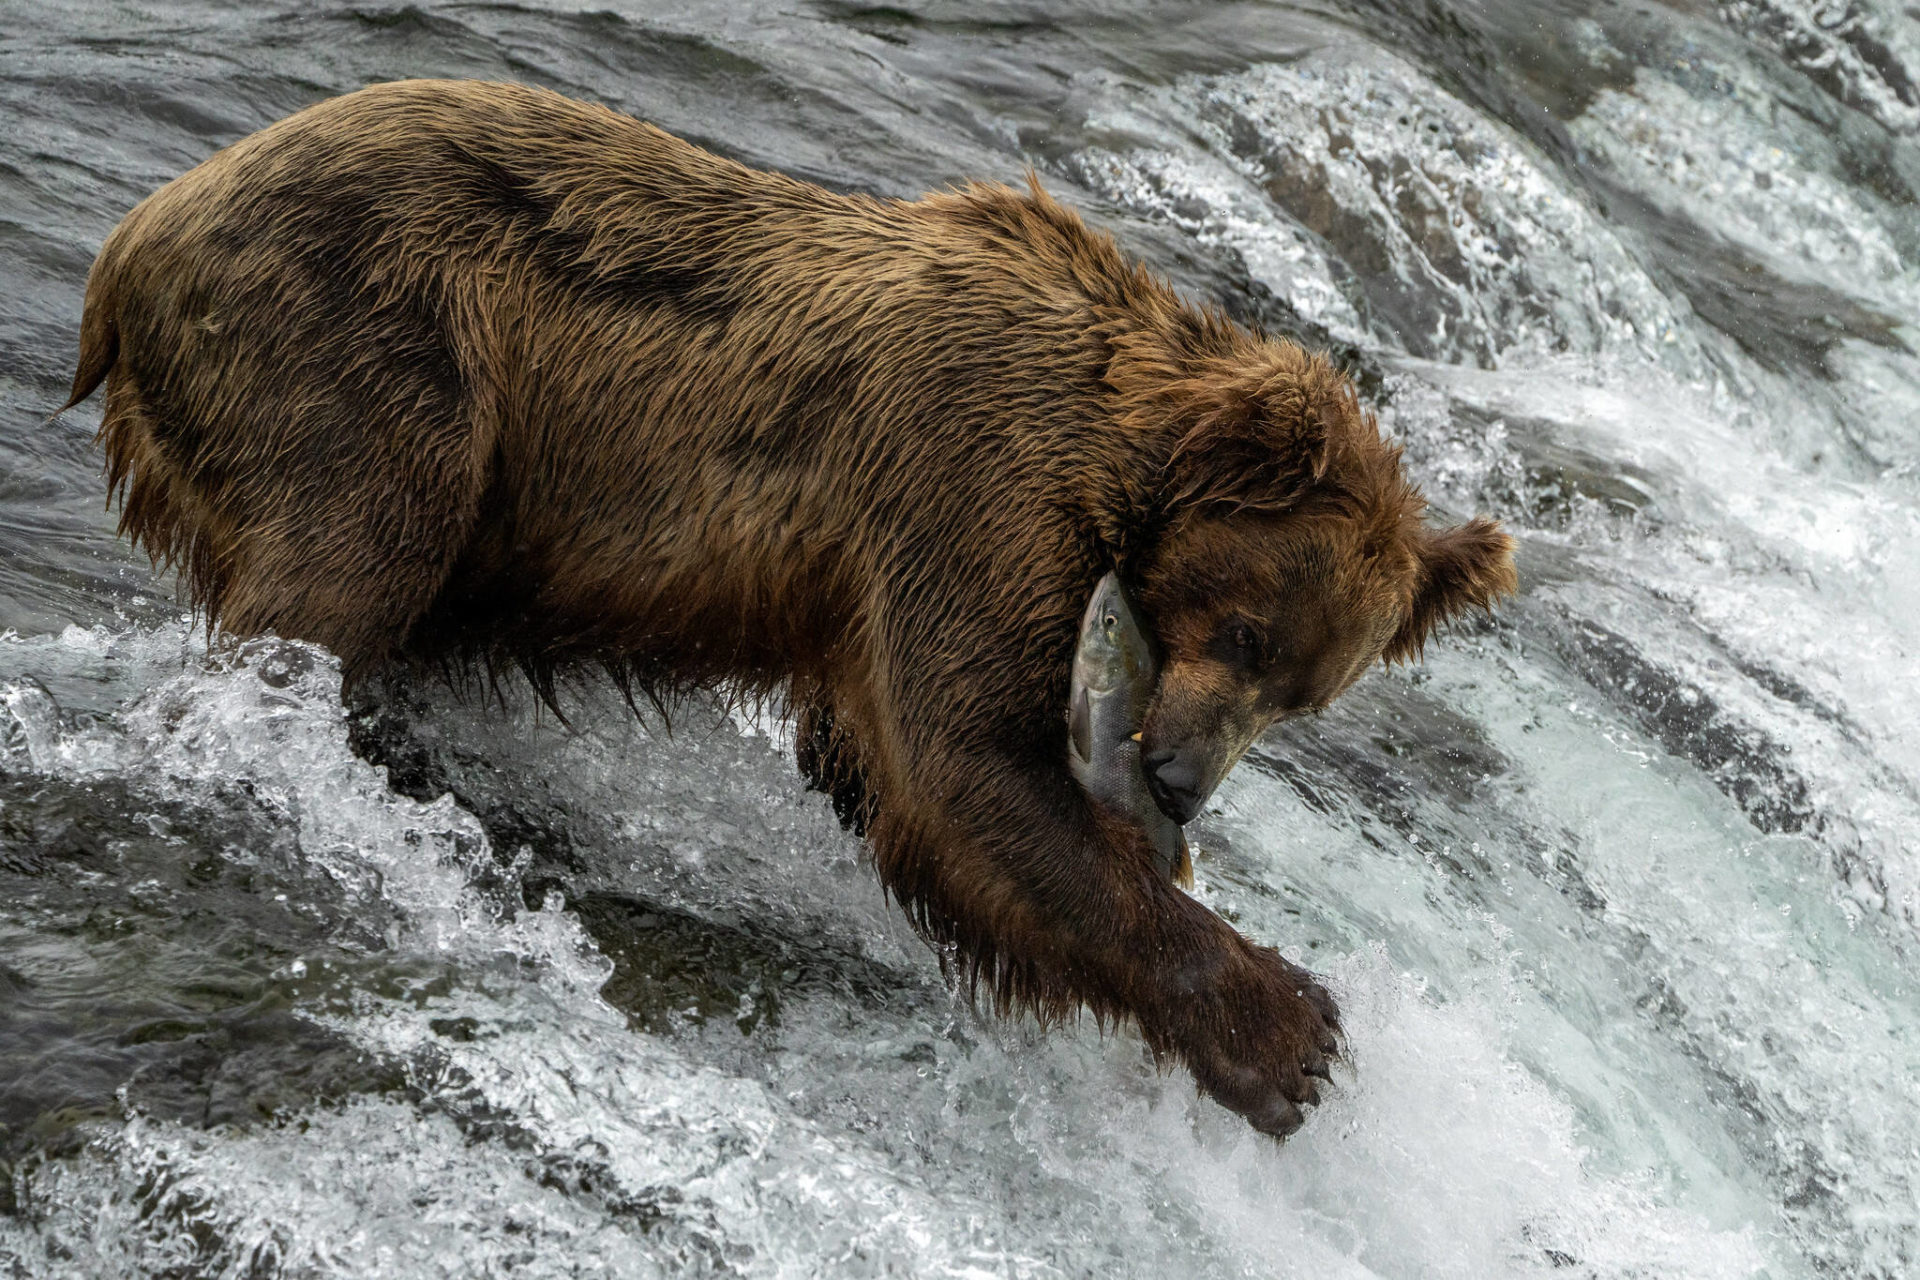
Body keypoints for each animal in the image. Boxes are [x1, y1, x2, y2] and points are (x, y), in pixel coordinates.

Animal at [60, 79, 1517, 1138]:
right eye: (1250, 631)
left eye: (1302, 697)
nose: (1176, 783)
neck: (1119, 462)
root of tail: (131, 241)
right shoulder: (964, 480)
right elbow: (963, 765)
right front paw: (1293, 1034)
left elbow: (877, 760)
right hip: (375, 350)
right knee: (342, 566)